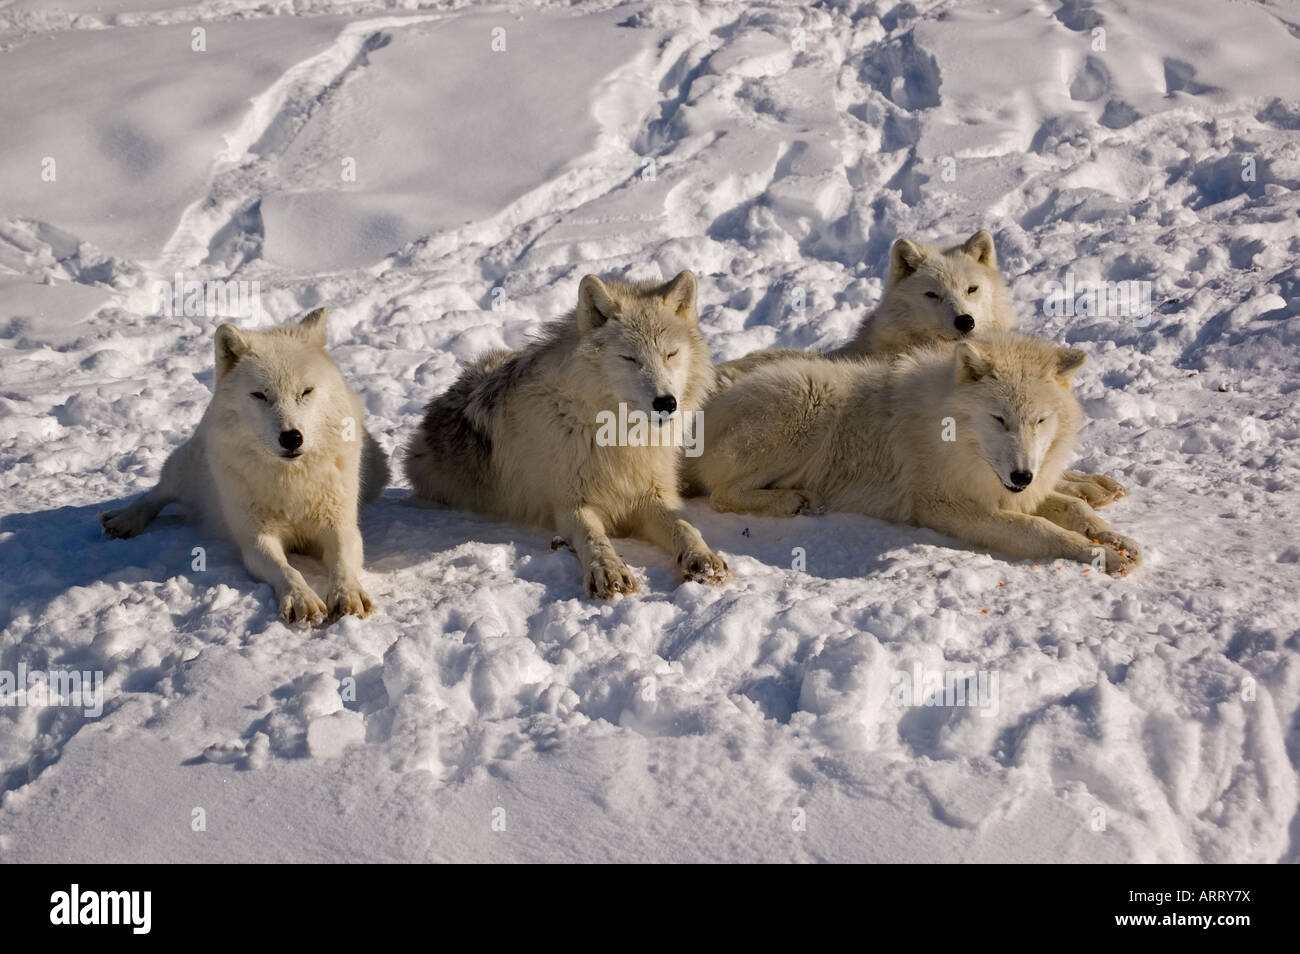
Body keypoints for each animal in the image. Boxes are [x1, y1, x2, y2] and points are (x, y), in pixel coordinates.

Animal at [100, 309, 390, 623]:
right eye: (260, 395)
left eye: (305, 392)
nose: (292, 438)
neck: (290, 481)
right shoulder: (255, 540)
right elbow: (286, 569)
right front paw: (301, 598)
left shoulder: (340, 526)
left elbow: (342, 563)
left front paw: (348, 594)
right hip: (185, 473)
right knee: (157, 492)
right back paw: (124, 520)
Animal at [404, 271, 729, 598]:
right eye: (630, 359)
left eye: (670, 354)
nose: (666, 403)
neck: (619, 435)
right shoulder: (570, 504)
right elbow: (592, 538)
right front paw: (608, 570)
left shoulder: (654, 494)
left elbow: (684, 526)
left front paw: (703, 558)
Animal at [688, 332, 1140, 575]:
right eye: (999, 419)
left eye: (1040, 421)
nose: (1022, 476)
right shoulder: (948, 507)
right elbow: (1041, 529)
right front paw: (1101, 555)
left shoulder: (1014, 490)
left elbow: (1073, 510)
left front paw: (1114, 539)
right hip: (809, 398)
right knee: (722, 494)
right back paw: (792, 501)